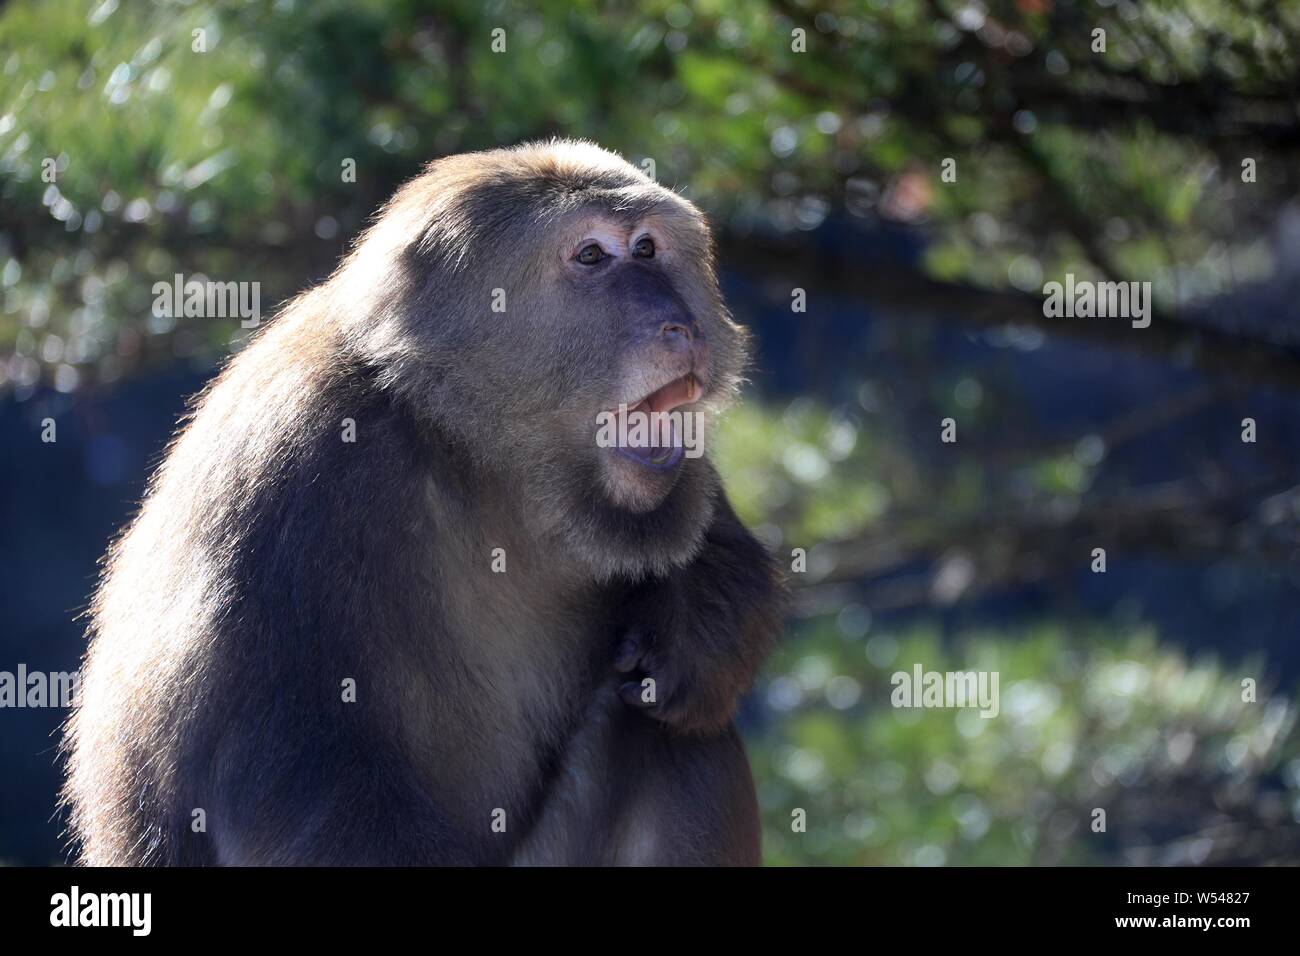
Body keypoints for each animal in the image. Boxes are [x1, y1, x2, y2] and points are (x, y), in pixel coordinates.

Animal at [61, 140, 785, 866]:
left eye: (648, 247)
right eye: (590, 255)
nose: (680, 324)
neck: (470, 452)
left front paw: (692, 633)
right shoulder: (292, 468)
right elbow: (298, 785)